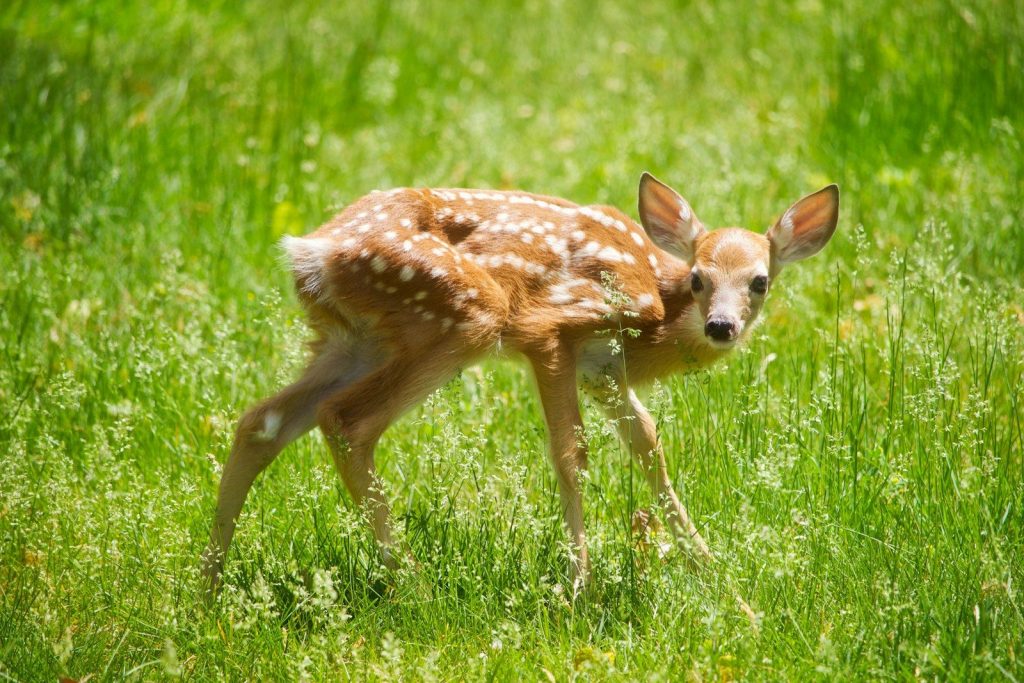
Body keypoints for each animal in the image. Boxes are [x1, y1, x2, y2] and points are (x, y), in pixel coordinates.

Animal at [200, 173, 839, 594]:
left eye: (760, 281)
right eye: (700, 277)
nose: (721, 326)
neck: (655, 306)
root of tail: (311, 251)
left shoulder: (603, 368)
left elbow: (648, 445)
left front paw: (715, 575)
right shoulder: (551, 329)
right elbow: (571, 451)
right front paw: (580, 587)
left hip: (357, 339)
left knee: (262, 421)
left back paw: (208, 588)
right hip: (461, 314)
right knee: (346, 420)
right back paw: (415, 587)